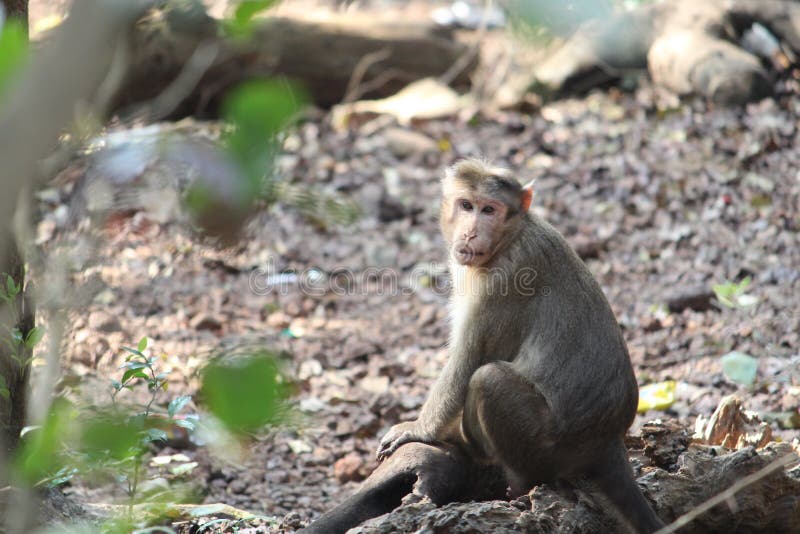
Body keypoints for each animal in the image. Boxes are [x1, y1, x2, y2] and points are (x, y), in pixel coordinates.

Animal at [375, 158, 665, 533]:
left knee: (488, 379)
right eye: (466, 205)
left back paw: (484, 456)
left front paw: (420, 431)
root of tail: (607, 442)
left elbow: (469, 363)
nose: (470, 233)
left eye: (489, 210)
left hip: (546, 444)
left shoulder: (503, 283)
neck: (509, 237)